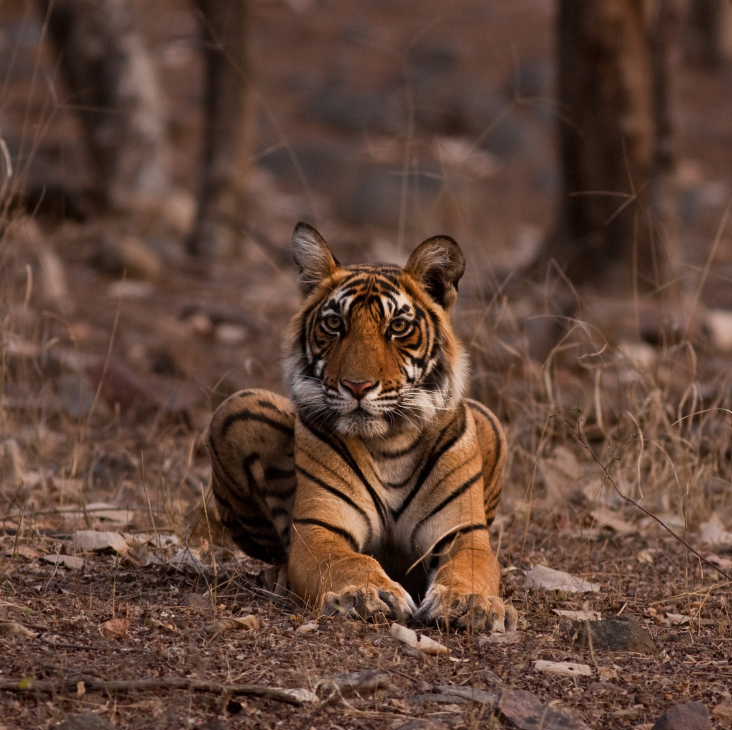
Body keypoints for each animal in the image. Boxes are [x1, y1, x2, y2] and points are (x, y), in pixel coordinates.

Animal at [207, 222, 513, 631]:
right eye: (335, 324)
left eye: (398, 327)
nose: (357, 386)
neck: (390, 442)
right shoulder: (319, 529)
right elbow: (348, 562)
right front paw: (365, 594)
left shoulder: (463, 534)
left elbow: (469, 570)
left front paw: (469, 603)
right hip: (236, 408)